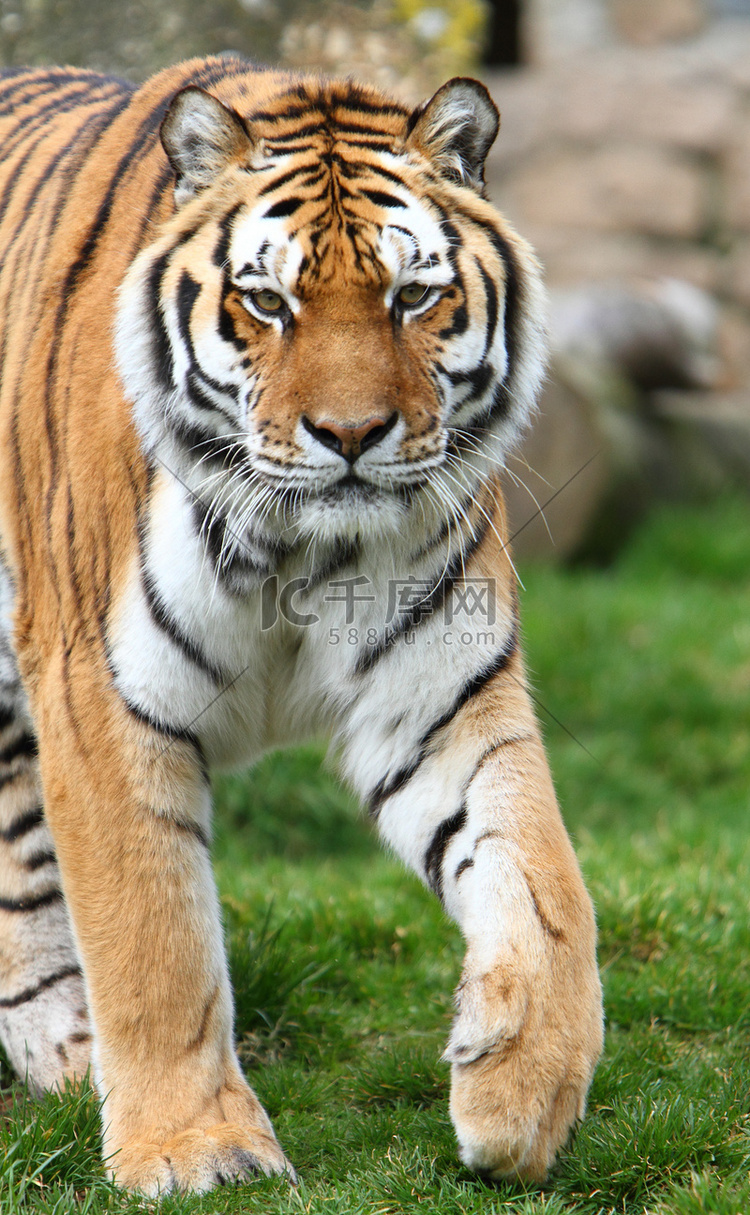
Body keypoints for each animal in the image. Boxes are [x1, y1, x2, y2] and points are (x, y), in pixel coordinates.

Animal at [0, 56, 603, 1195]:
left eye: (413, 295)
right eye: (267, 302)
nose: (352, 435)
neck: (301, 549)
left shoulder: (439, 699)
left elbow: (545, 883)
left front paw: (520, 1092)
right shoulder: (99, 690)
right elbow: (155, 937)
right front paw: (193, 1149)